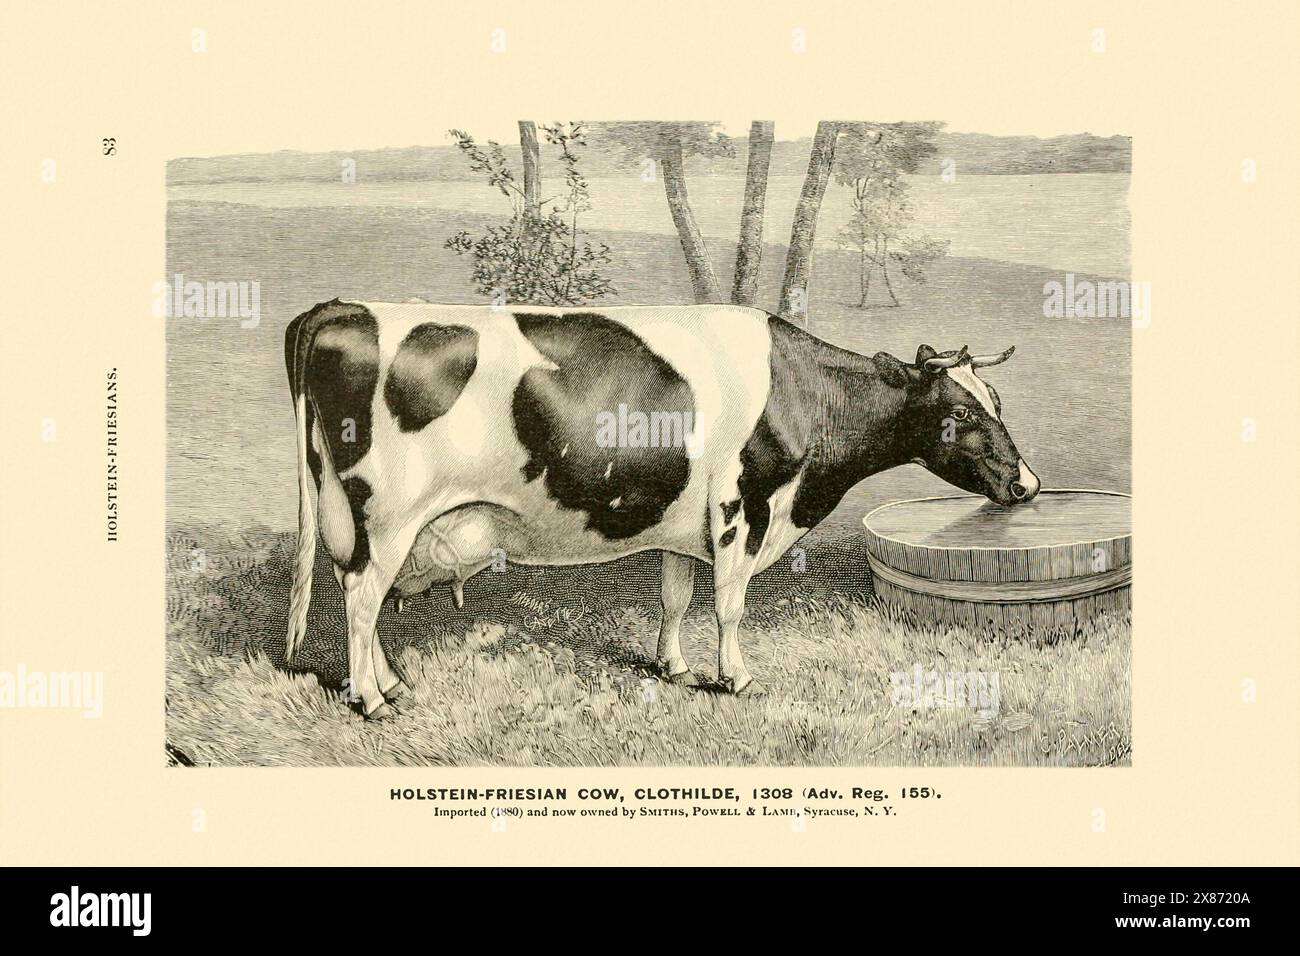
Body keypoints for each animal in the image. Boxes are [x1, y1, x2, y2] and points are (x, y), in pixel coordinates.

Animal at [284, 301, 1039, 718]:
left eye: (999, 402)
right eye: (964, 414)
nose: (1028, 484)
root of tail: (342, 308)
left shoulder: (686, 523)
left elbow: (676, 597)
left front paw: (673, 667)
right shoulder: (741, 505)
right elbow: (729, 605)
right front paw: (735, 678)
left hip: (365, 518)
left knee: (360, 595)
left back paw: (389, 684)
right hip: (388, 513)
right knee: (361, 597)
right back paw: (371, 700)